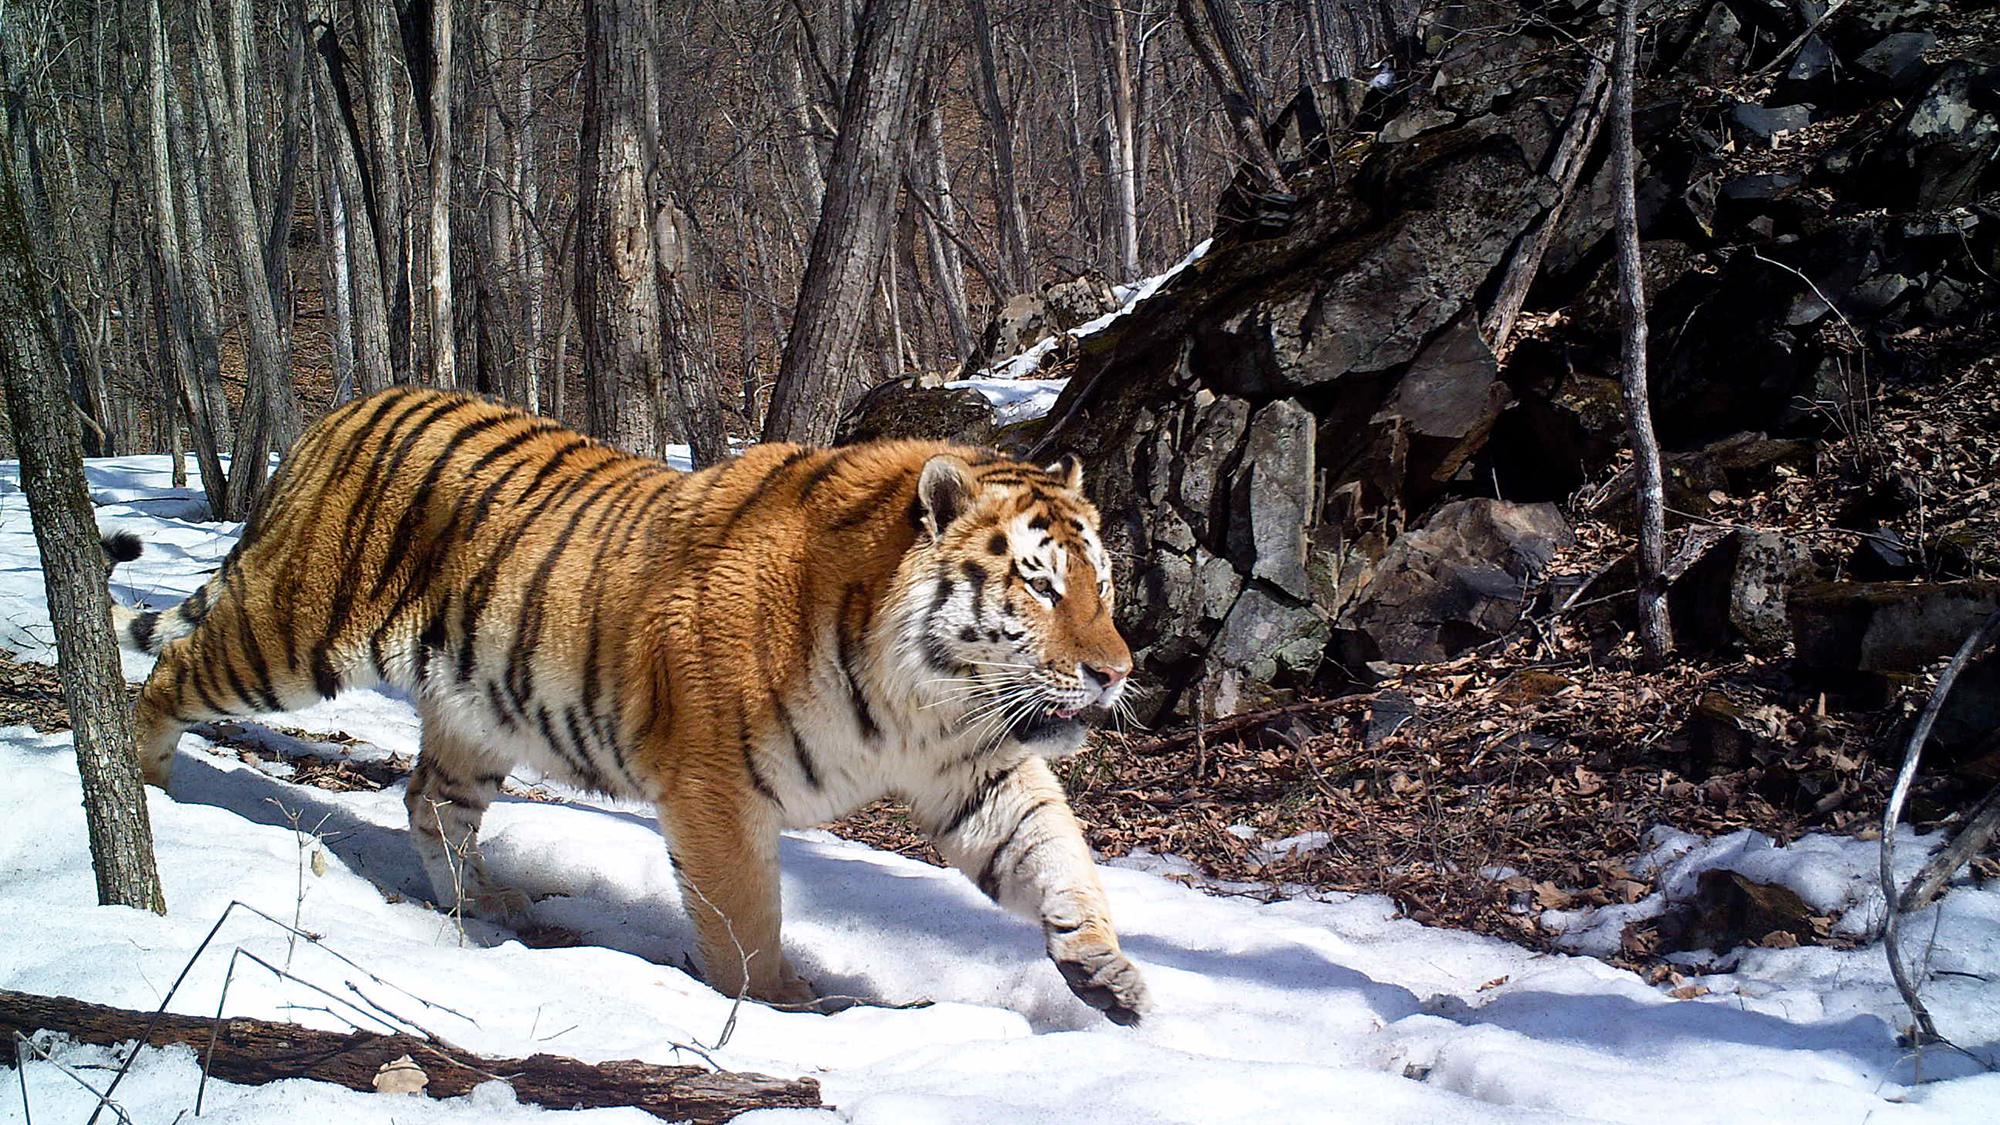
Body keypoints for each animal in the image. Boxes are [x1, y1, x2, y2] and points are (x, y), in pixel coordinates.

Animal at [109, 386, 1150, 1024]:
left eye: (1101, 583)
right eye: (1041, 586)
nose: (1116, 670)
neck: (920, 696)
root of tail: (335, 414)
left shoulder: (975, 765)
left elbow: (1055, 856)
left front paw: (1104, 967)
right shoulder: (716, 785)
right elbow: (743, 917)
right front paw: (780, 1005)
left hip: (475, 711)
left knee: (429, 800)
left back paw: (483, 904)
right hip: (290, 631)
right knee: (169, 674)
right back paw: (144, 783)